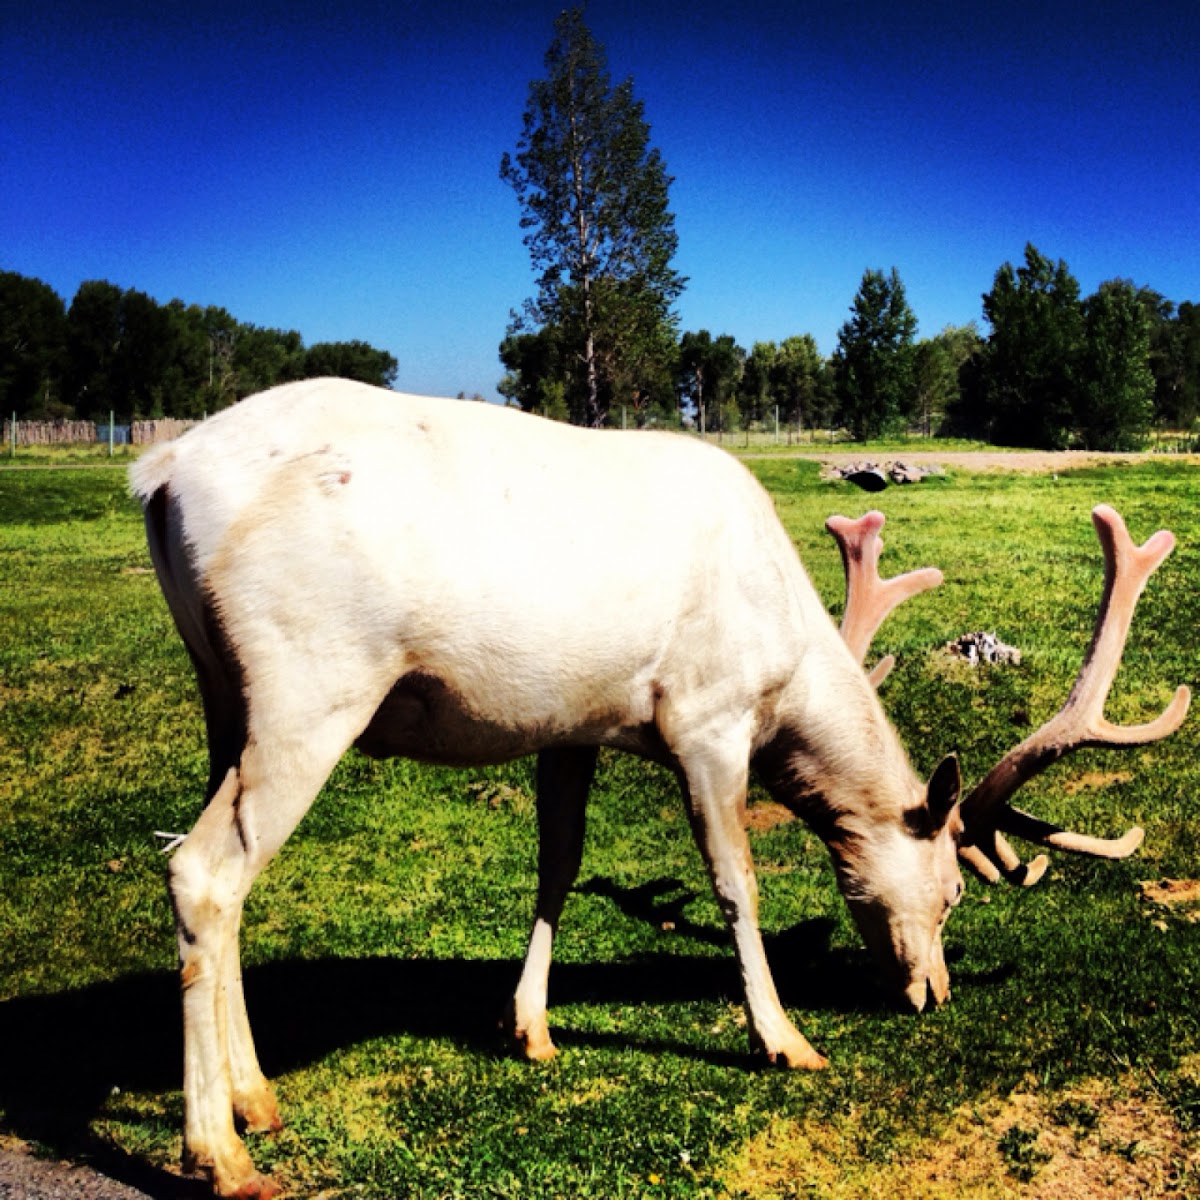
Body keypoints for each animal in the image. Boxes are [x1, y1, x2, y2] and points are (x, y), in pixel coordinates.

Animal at [129, 378, 1187, 1198]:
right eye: (957, 889)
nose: (932, 993)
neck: (785, 672)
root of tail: (161, 471)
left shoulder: (571, 726)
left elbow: (558, 865)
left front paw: (529, 1027)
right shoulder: (706, 720)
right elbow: (736, 882)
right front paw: (782, 1038)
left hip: (224, 693)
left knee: (219, 870)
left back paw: (255, 1099)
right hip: (311, 682)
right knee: (204, 871)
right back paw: (218, 1150)